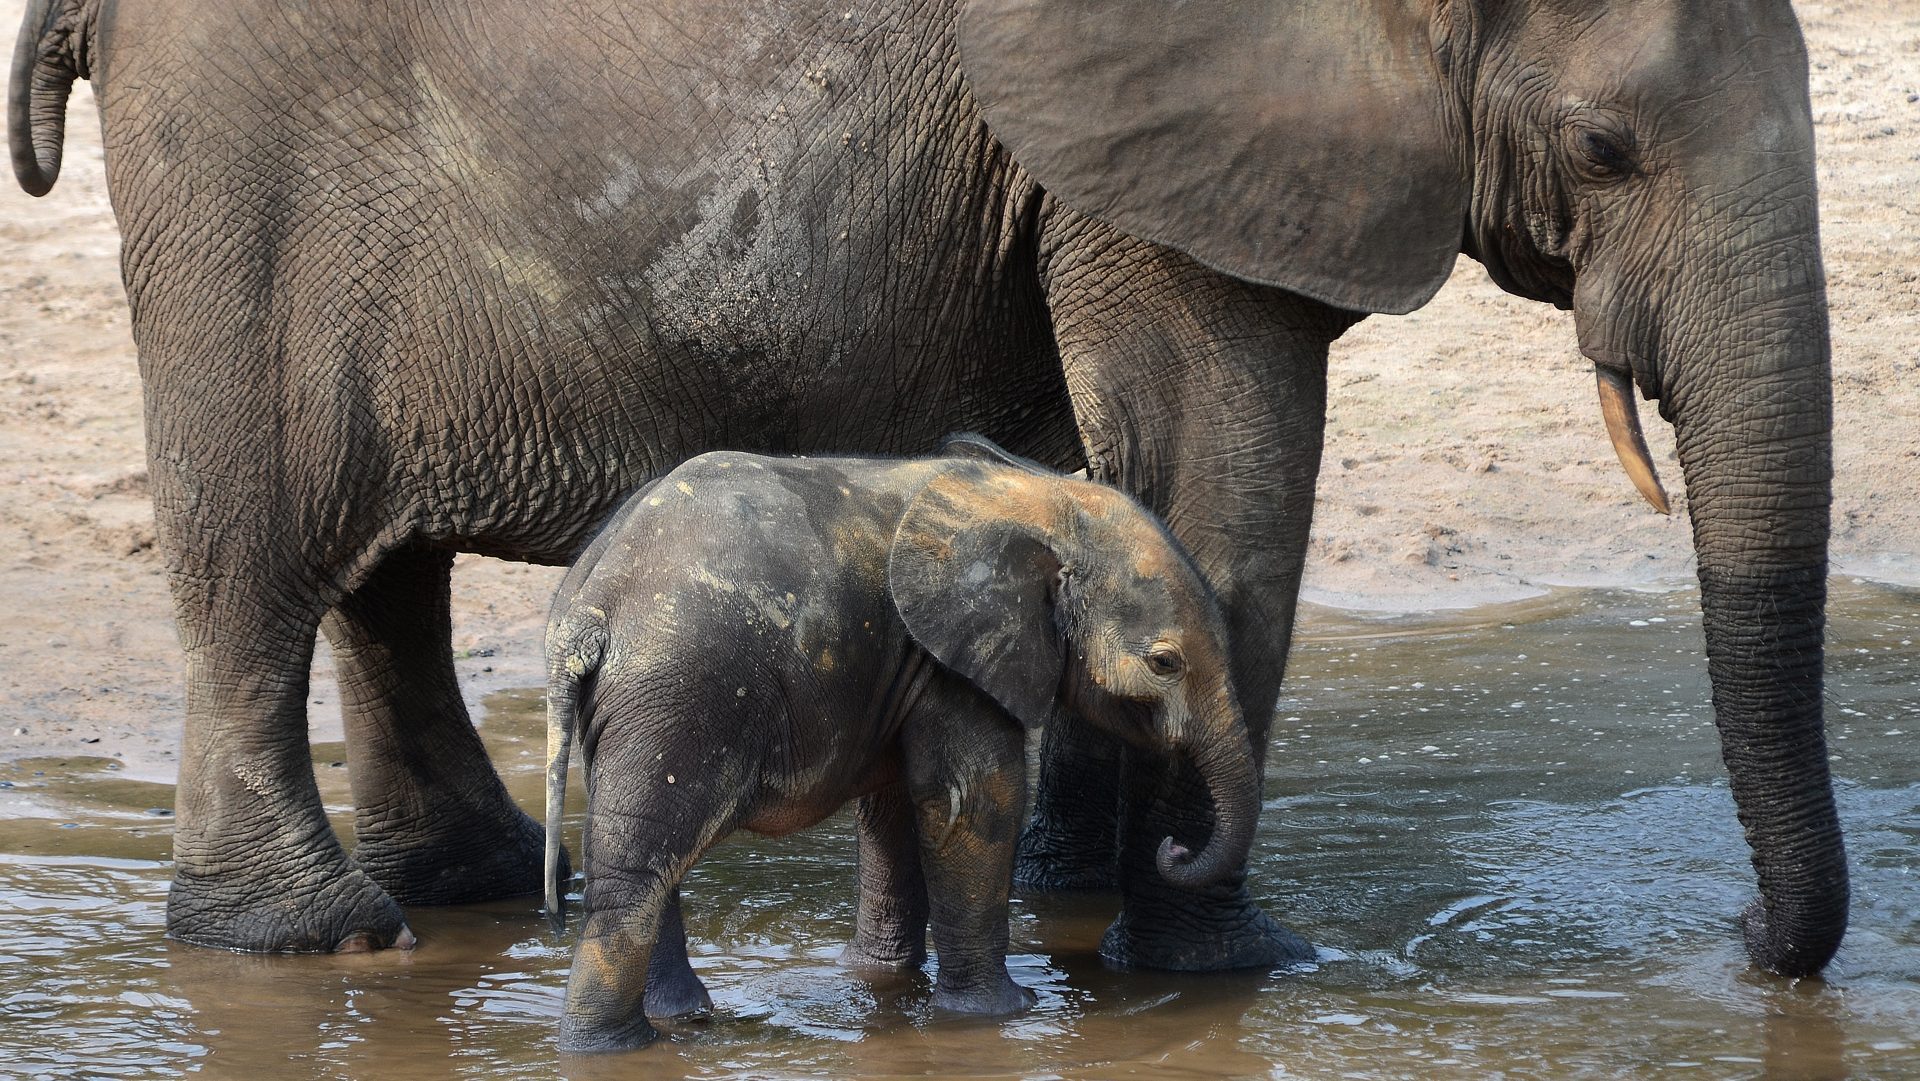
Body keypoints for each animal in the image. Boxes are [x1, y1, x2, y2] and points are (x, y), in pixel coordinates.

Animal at [10, 0, 1843, 974]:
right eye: (1602, 152)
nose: (1751, 942)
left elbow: (1123, 476)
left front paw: (1084, 901)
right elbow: (1227, 480)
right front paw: (1222, 965)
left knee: (380, 573)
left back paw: (465, 885)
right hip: (244, 178)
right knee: (259, 555)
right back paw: (306, 939)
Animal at [539, 436, 1257, 1050]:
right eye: (1164, 663)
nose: (1175, 847)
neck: (1039, 493)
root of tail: (583, 610)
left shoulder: (907, 669)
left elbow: (894, 810)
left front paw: (881, 981)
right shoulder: (949, 665)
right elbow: (975, 802)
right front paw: (1003, 1015)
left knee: (642, 857)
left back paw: (679, 1020)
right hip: (679, 691)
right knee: (638, 869)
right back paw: (612, 1047)